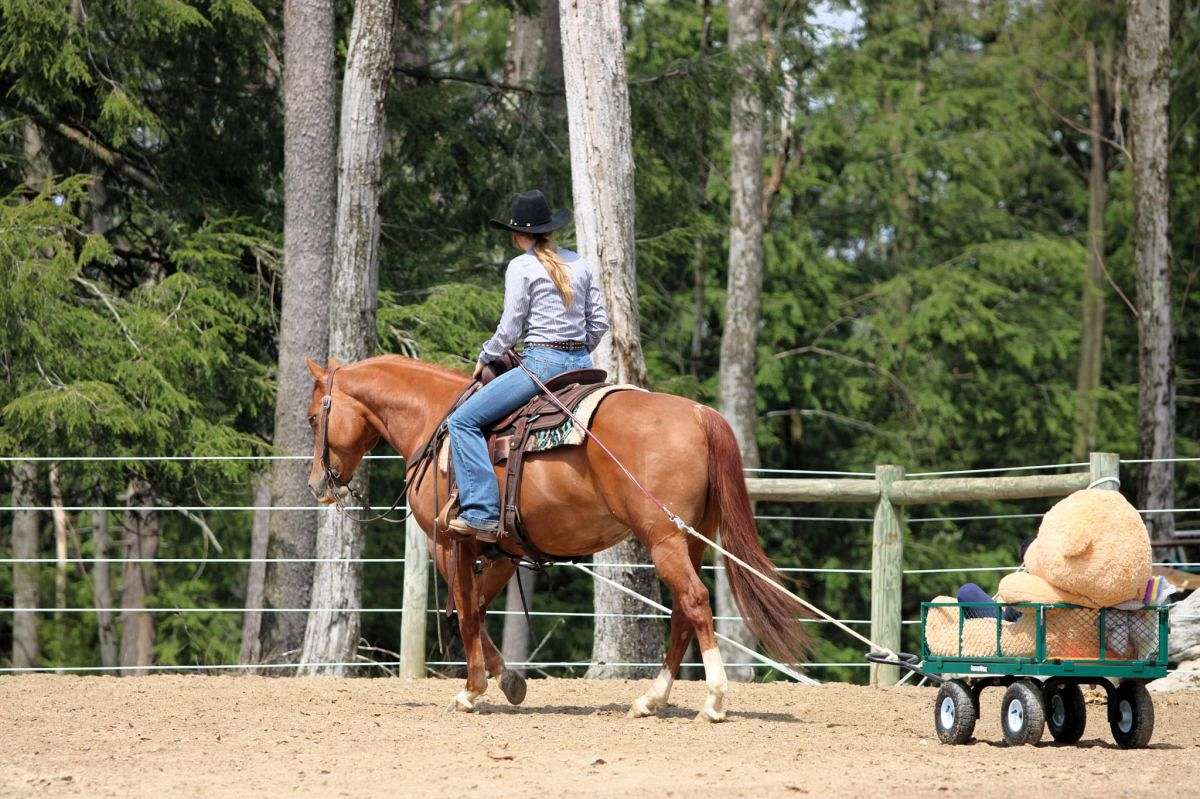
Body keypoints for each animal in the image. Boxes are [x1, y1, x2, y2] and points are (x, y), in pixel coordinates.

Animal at [303, 354, 810, 722]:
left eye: (311, 418)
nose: (316, 485)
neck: (436, 421)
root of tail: (699, 413)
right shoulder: (501, 551)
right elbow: (480, 608)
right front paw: (507, 680)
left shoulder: (451, 541)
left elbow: (465, 610)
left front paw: (472, 690)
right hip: (693, 540)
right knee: (684, 613)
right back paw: (651, 699)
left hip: (664, 537)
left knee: (695, 602)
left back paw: (714, 700)